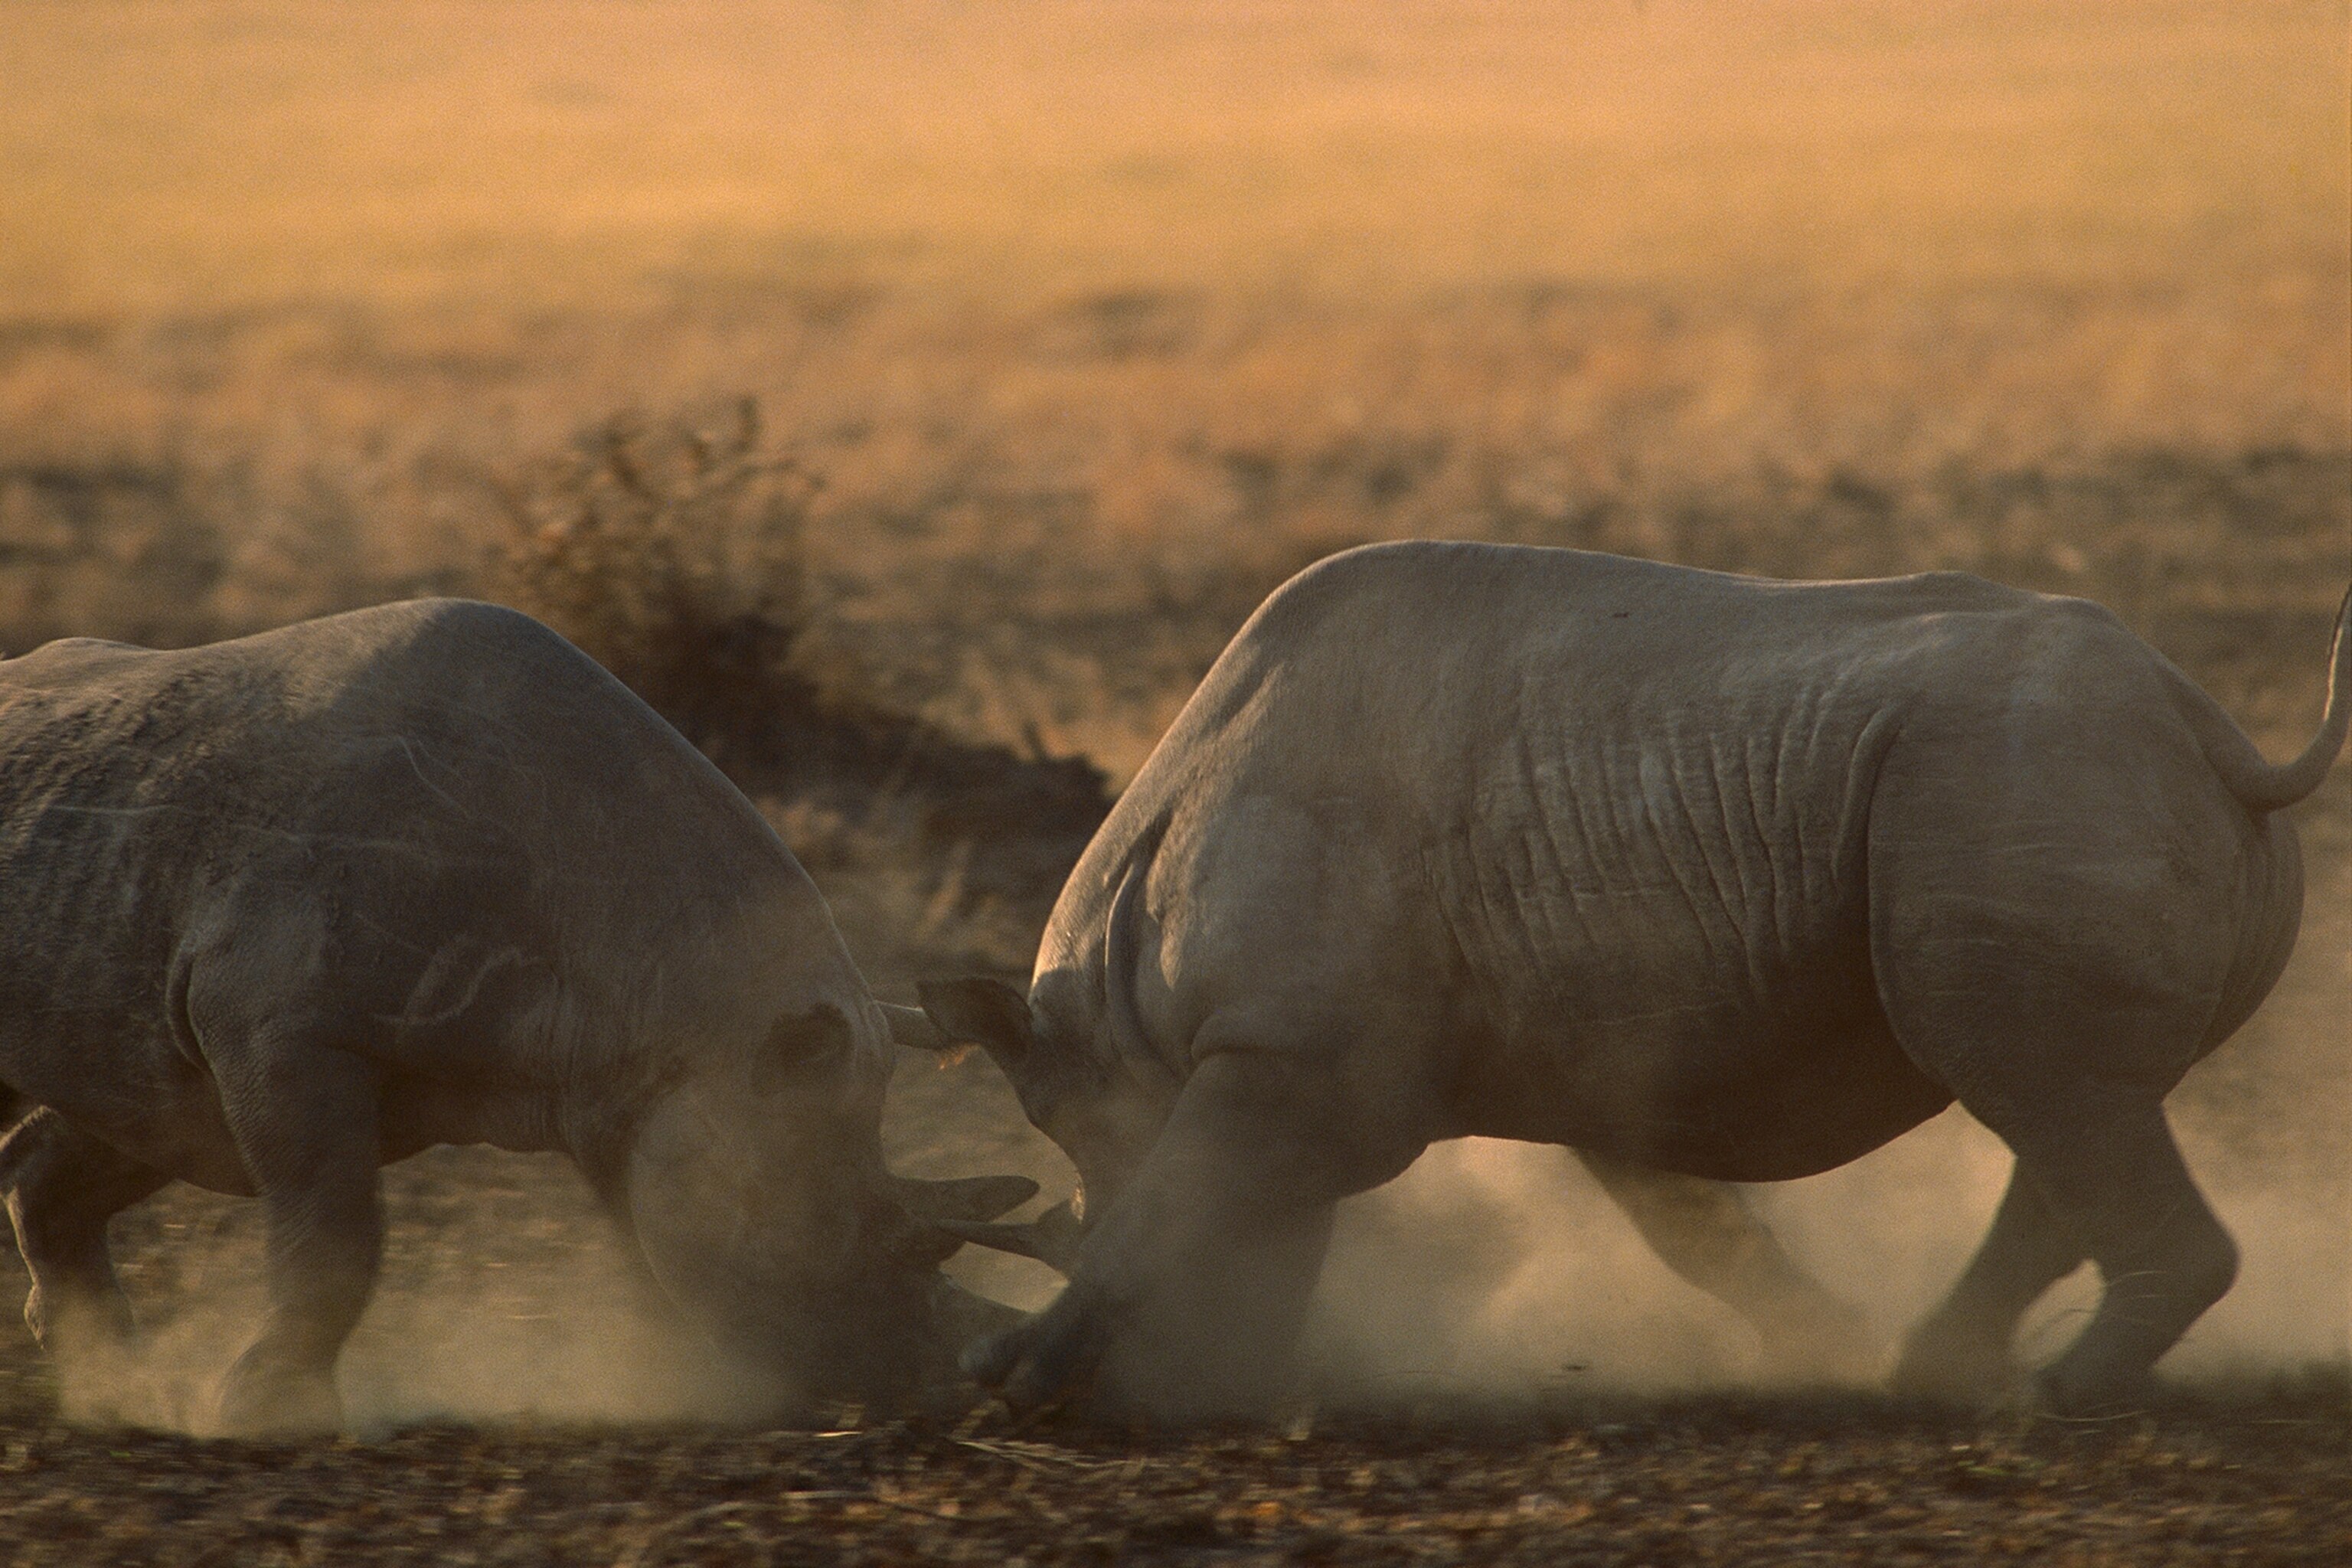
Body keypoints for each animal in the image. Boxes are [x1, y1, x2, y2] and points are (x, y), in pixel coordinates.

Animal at [0, 599, 1032, 1433]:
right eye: (827, 1236)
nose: (925, 1392)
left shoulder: (620, 1084)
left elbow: (640, 1238)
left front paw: (677, 1379)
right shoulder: (281, 1023)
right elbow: (337, 1234)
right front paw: (267, 1415)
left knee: (137, 1102)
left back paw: (112, 1383)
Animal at [911, 542, 2349, 1418]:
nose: (1173, 1387)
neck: (1121, 999)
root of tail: (2209, 726)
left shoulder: (1284, 1056)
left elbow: (1172, 1203)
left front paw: (1008, 1376)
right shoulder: (1565, 1054)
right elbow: (1690, 1228)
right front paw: (1816, 1341)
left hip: (2023, 778)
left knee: (2041, 1088)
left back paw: (2049, 1398)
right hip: (2047, 783)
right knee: (2061, 1098)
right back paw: (1923, 1372)